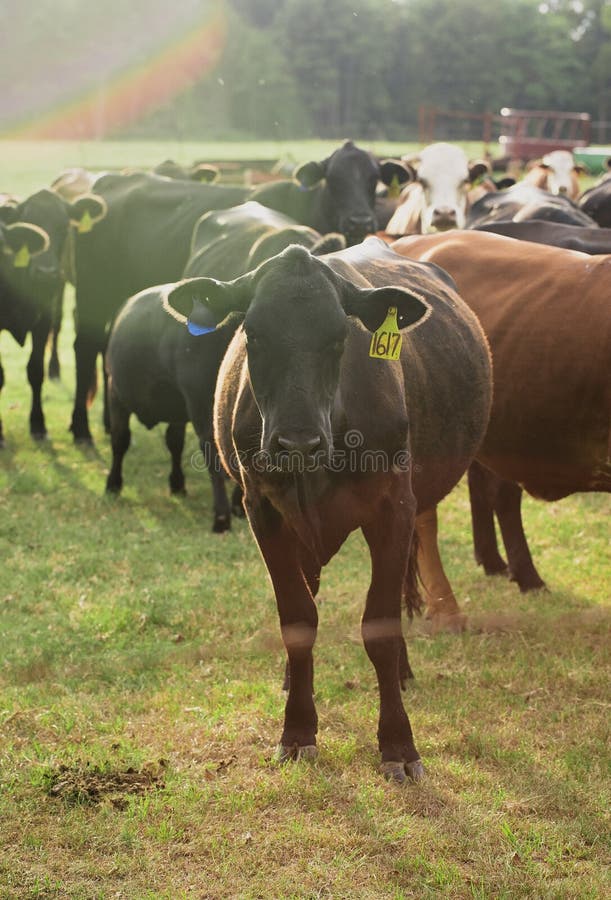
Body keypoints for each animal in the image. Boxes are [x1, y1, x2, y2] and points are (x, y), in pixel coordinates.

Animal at [105, 202, 345, 532]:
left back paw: (177, 483)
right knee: (120, 437)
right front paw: (221, 514)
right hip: (117, 392)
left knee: (172, 440)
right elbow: (214, 450)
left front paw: (238, 506)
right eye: (257, 327)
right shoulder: (201, 400)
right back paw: (113, 484)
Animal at [162, 237, 492, 781]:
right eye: (252, 333)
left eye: (340, 337)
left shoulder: (395, 506)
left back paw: (402, 672)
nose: (297, 441)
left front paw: (398, 745)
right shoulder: (262, 509)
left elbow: (380, 625)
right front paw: (297, 731)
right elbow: (297, 620)